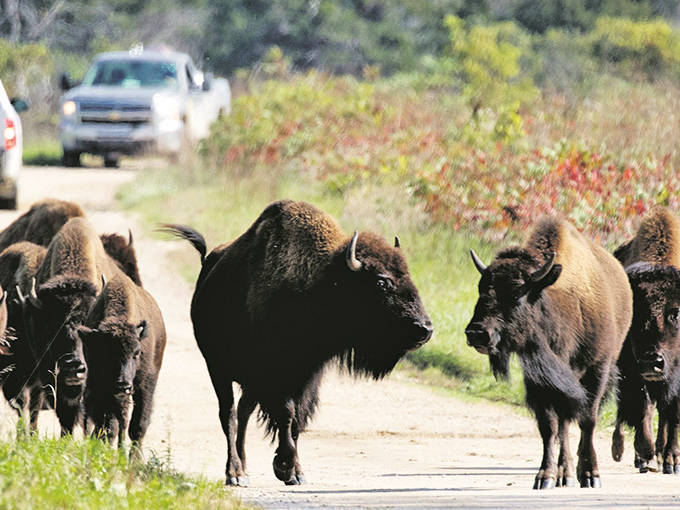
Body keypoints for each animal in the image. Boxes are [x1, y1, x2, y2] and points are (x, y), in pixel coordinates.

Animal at [161, 199, 433, 486]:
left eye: (407, 274)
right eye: (381, 282)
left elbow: (296, 420)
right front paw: (285, 468)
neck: (319, 284)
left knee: (244, 412)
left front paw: (294, 470)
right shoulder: (277, 375)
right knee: (230, 415)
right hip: (217, 368)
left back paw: (245, 467)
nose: (425, 328)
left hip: (248, 381)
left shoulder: (307, 376)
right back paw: (235, 473)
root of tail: (208, 264)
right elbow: (287, 414)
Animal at [465, 216, 632, 489]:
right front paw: (545, 477)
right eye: (481, 289)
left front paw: (591, 475)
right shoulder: (540, 381)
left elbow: (588, 420)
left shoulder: (598, 369)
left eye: (517, 293)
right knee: (563, 425)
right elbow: (550, 426)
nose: (477, 333)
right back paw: (565, 473)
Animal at [611, 207, 680, 474]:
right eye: (635, 313)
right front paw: (646, 455)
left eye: (676, 312)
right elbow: (642, 408)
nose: (652, 362)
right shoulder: (632, 371)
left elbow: (673, 415)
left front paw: (671, 459)